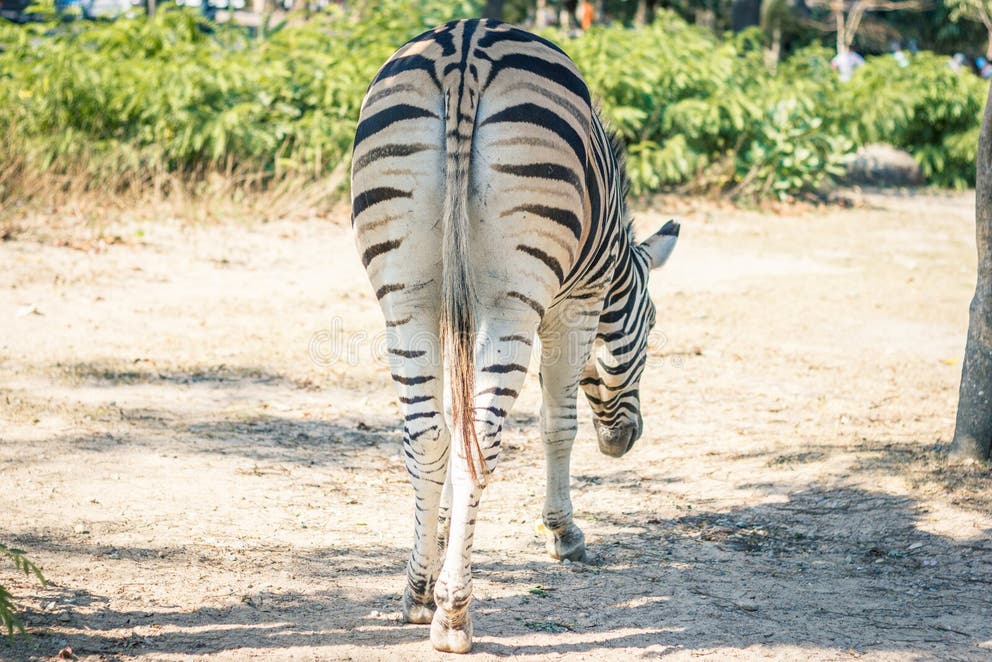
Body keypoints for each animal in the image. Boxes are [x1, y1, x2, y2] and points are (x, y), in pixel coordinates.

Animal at [351, 18, 679, 653]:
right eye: (651, 325)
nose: (627, 440)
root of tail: (464, 46)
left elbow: (451, 428)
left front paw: (444, 539)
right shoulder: (574, 305)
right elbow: (559, 424)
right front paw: (565, 534)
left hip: (405, 294)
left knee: (429, 436)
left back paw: (419, 593)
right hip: (513, 300)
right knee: (479, 440)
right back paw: (454, 617)